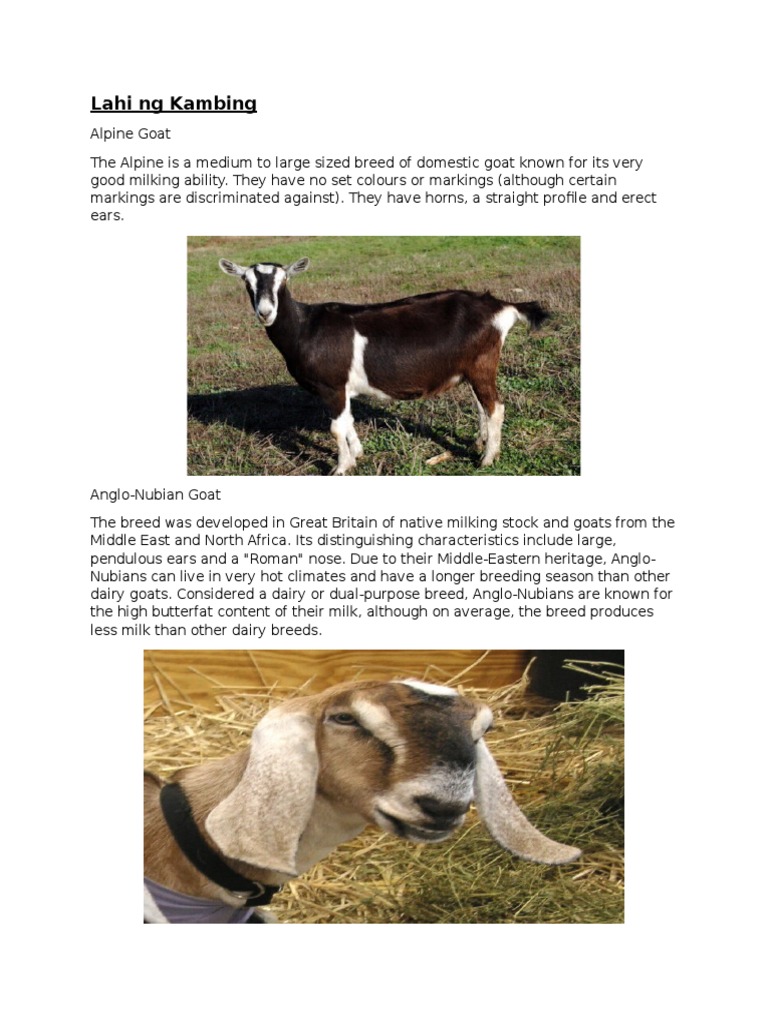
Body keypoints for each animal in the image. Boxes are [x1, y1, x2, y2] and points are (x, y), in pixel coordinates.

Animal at [219, 257, 547, 475]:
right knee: (482, 406)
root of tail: (502, 307)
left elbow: (336, 427)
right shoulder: (342, 389)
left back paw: (488, 459)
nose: (265, 312)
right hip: (471, 369)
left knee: (495, 408)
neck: (305, 327)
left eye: (283, 281)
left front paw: (341, 467)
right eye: (247, 282)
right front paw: (358, 454)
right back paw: (480, 444)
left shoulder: (332, 386)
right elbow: (348, 421)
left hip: (482, 364)